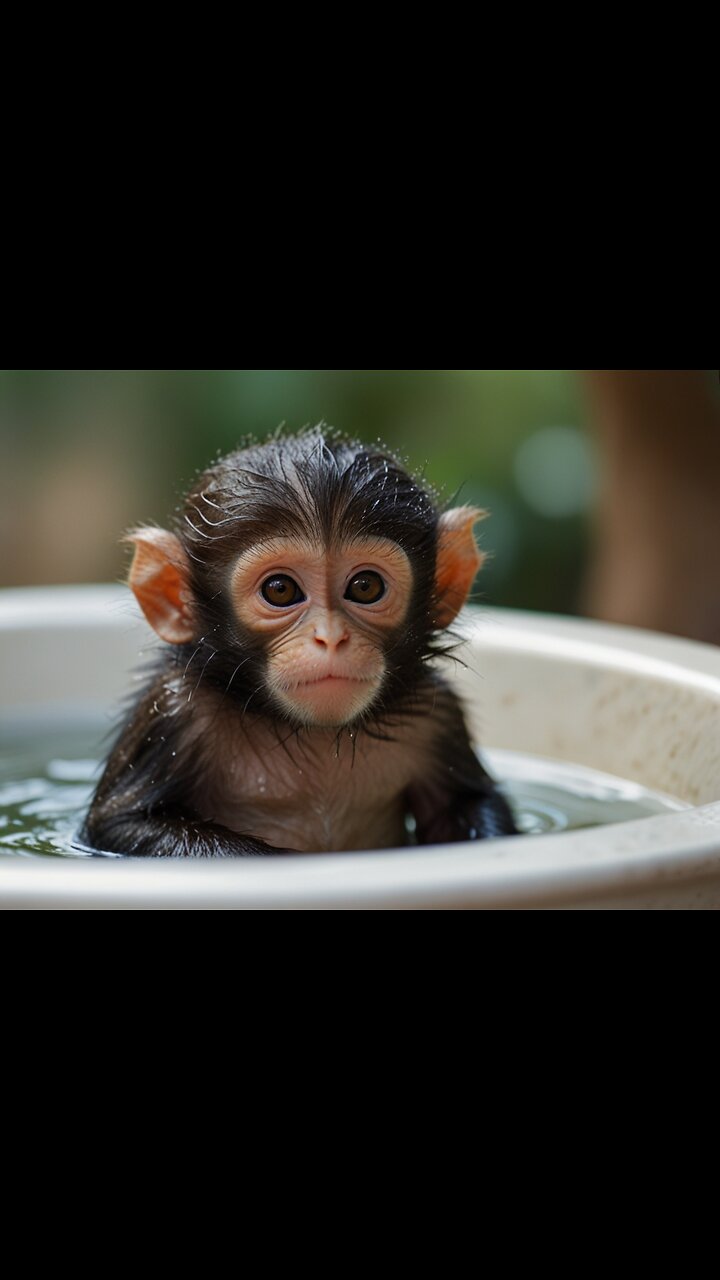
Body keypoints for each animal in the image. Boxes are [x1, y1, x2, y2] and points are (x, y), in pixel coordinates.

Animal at [81, 428, 517, 857]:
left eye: (365, 586)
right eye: (280, 590)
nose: (331, 637)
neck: (310, 732)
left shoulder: (438, 714)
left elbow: (468, 803)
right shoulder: (171, 714)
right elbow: (121, 824)